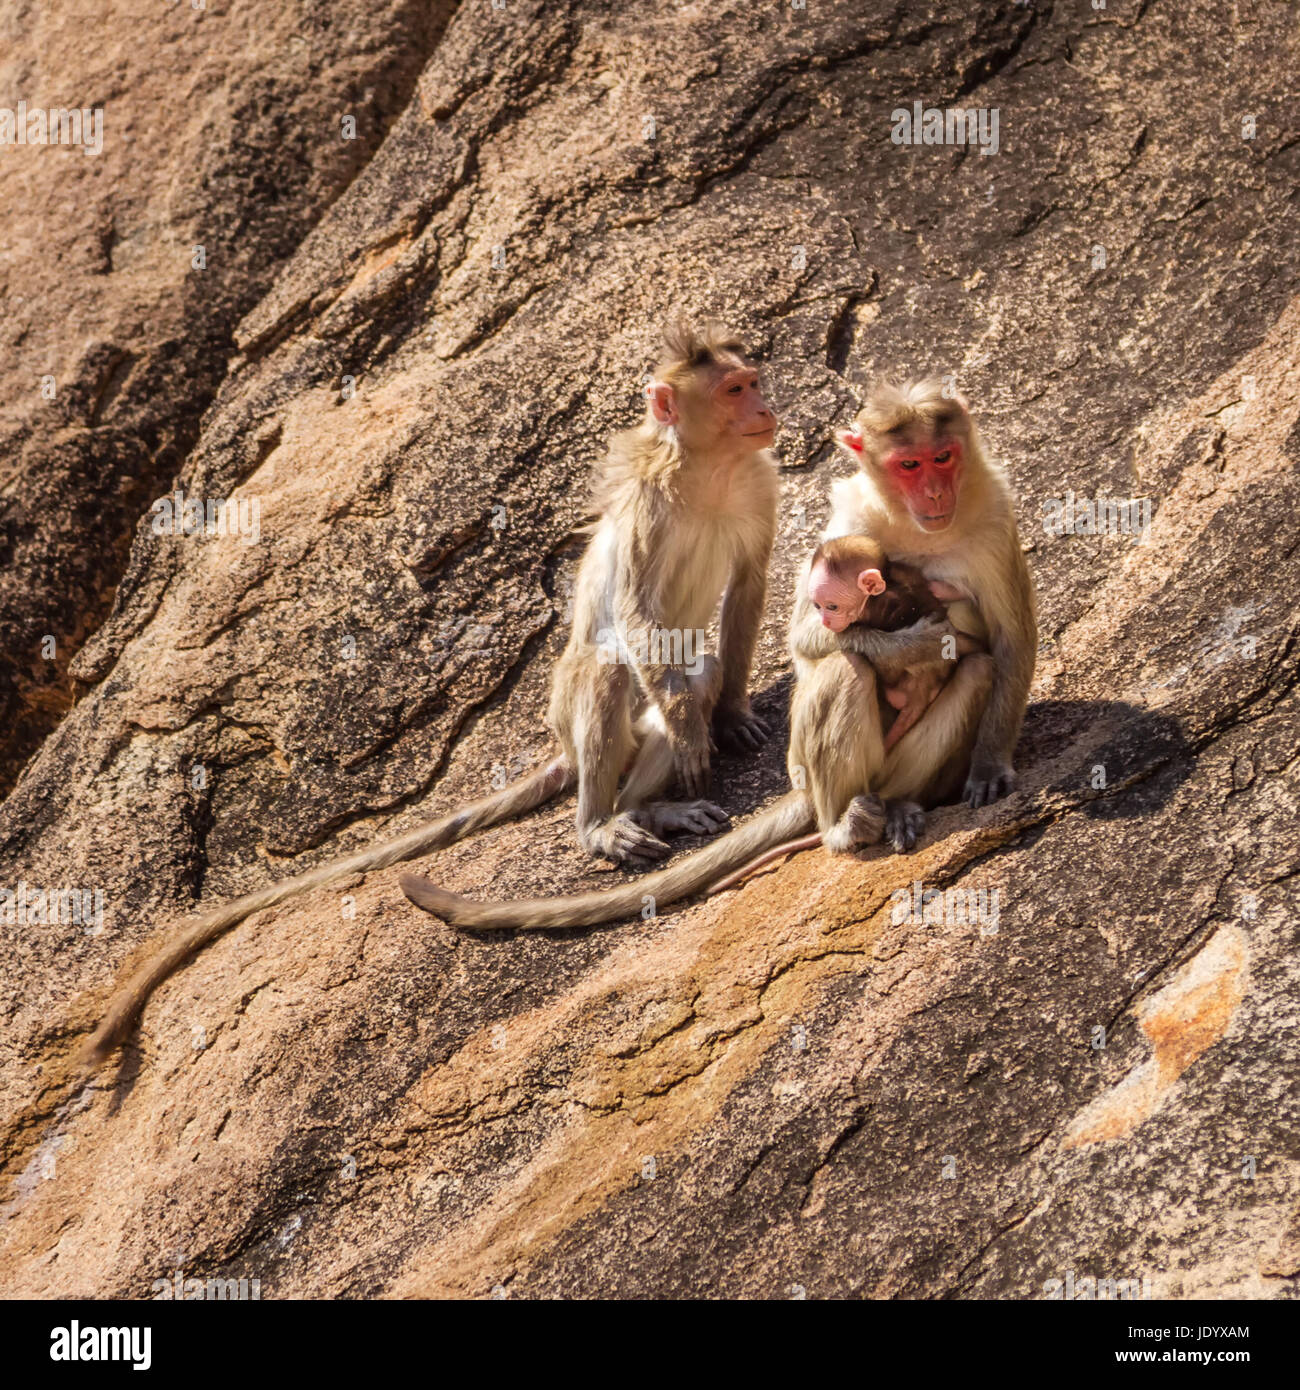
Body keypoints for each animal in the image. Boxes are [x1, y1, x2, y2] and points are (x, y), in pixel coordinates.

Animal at [77, 321, 779, 1068]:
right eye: (734, 390)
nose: (765, 409)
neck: (706, 469)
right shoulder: (649, 504)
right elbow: (639, 618)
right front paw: (695, 733)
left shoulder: (757, 479)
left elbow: (747, 589)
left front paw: (731, 717)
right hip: (568, 710)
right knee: (608, 666)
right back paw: (603, 822)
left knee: (694, 669)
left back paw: (655, 803)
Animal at [398, 377, 1034, 931]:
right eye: (909, 465)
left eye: (944, 456)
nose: (936, 492)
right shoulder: (843, 517)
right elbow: (808, 638)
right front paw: (921, 640)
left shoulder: (994, 516)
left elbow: (1009, 642)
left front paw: (989, 766)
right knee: (832, 670)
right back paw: (831, 825)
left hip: (896, 763)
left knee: (978, 673)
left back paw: (900, 804)